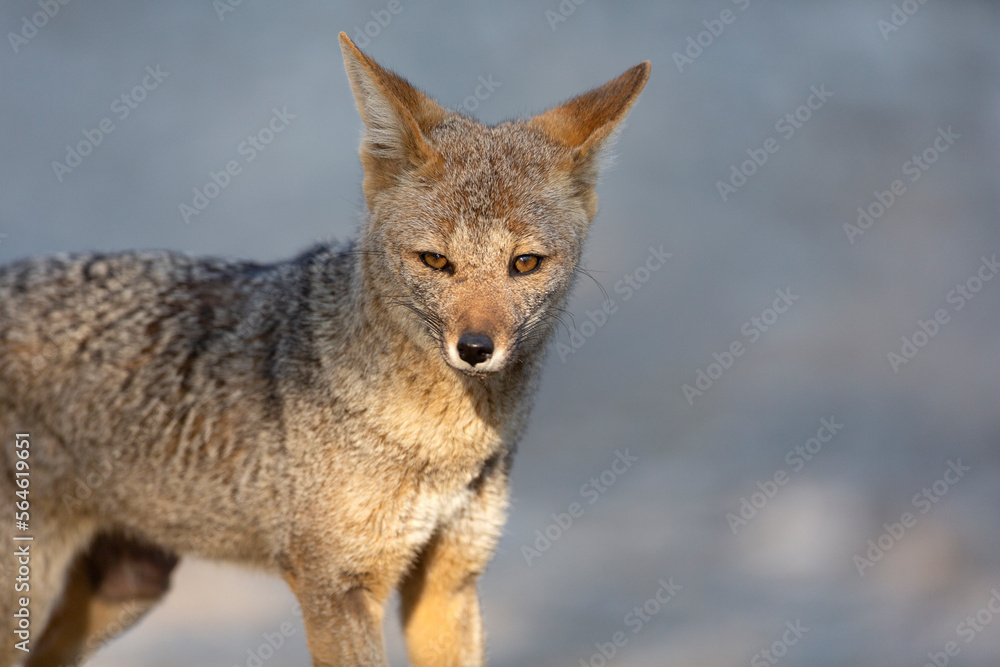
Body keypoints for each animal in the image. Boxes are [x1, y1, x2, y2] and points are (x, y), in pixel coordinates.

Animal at [0, 33, 649, 667]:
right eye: (435, 261)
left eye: (525, 264)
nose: (475, 348)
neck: (444, 446)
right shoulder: (338, 588)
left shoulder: (449, 583)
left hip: (128, 588)